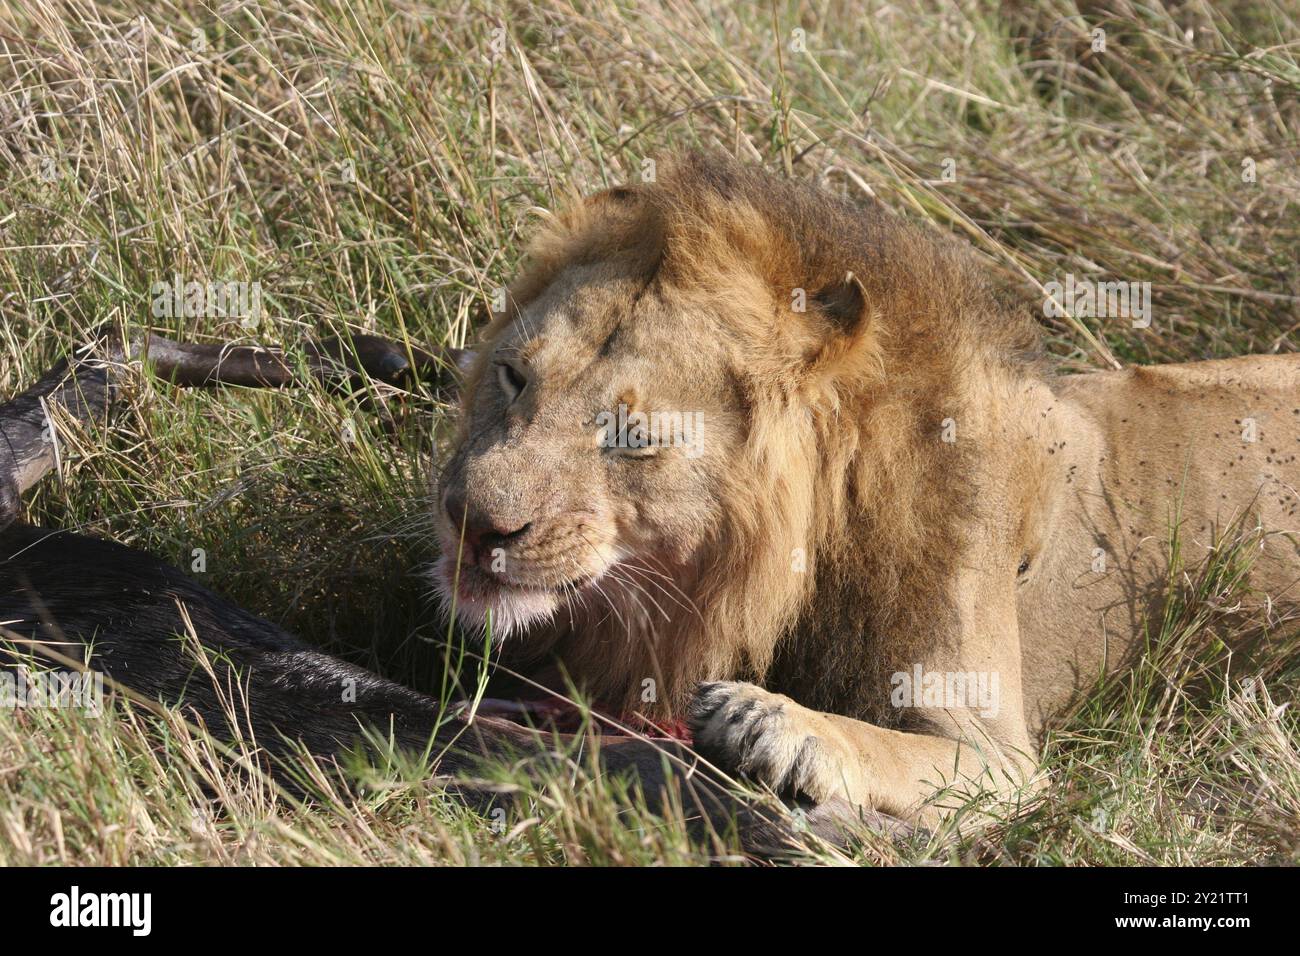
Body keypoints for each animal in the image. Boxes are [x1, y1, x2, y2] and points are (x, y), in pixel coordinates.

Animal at [433, 151, 1300, 825]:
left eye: (632, 437)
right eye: (513, 377)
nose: (471, 521)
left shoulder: (1000, 759)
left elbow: (887, 742)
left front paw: (775, 721)